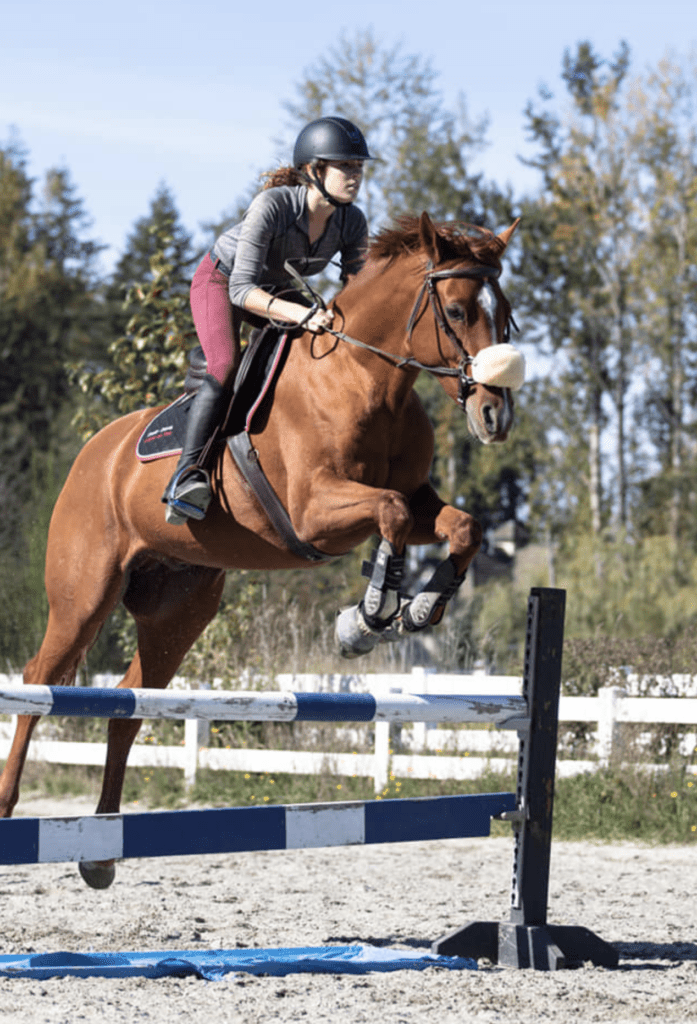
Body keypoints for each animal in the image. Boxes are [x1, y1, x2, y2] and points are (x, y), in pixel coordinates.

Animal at [0, 212, 523, 887]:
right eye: (457, 311)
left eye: (503, 314)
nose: (494, 415)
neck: (364, 378)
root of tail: (94, 453)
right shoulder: (315, 514)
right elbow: (392, 512)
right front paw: (368, 616)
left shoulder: (415, 499)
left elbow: (461, 527)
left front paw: (421, 607)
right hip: (83, 596)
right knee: (38, 684)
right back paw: (11, 807)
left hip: (178, 614)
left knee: (130, 704)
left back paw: (100, 850)